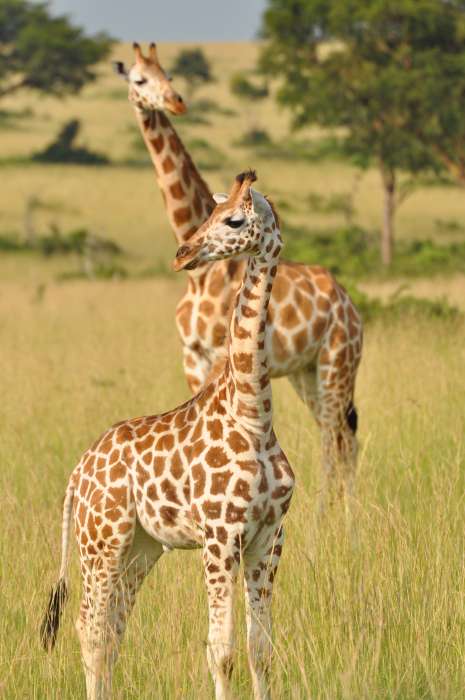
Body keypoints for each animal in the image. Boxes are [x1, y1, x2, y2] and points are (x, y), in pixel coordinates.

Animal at [40, 171, 295, 700]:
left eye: (233, 219)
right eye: (208, 213)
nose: (183, 253)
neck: (253, 414)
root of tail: (78, 472)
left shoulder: (269, 538)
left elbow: (261, 651)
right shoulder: (221, 537)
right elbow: (222, 653)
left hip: (141, 548)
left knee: (112, 630)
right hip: (100, 542)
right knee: (89, 627)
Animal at [114, 43, 363, 509]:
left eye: (167, 73)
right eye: (139, 79)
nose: (176, 101)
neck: (198, 278)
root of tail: (348, 302)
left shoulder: (215, 354)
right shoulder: (191, 356)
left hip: (337, 364)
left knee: (336, 436)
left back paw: (329, 514)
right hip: (306, 373)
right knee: (342, 437)